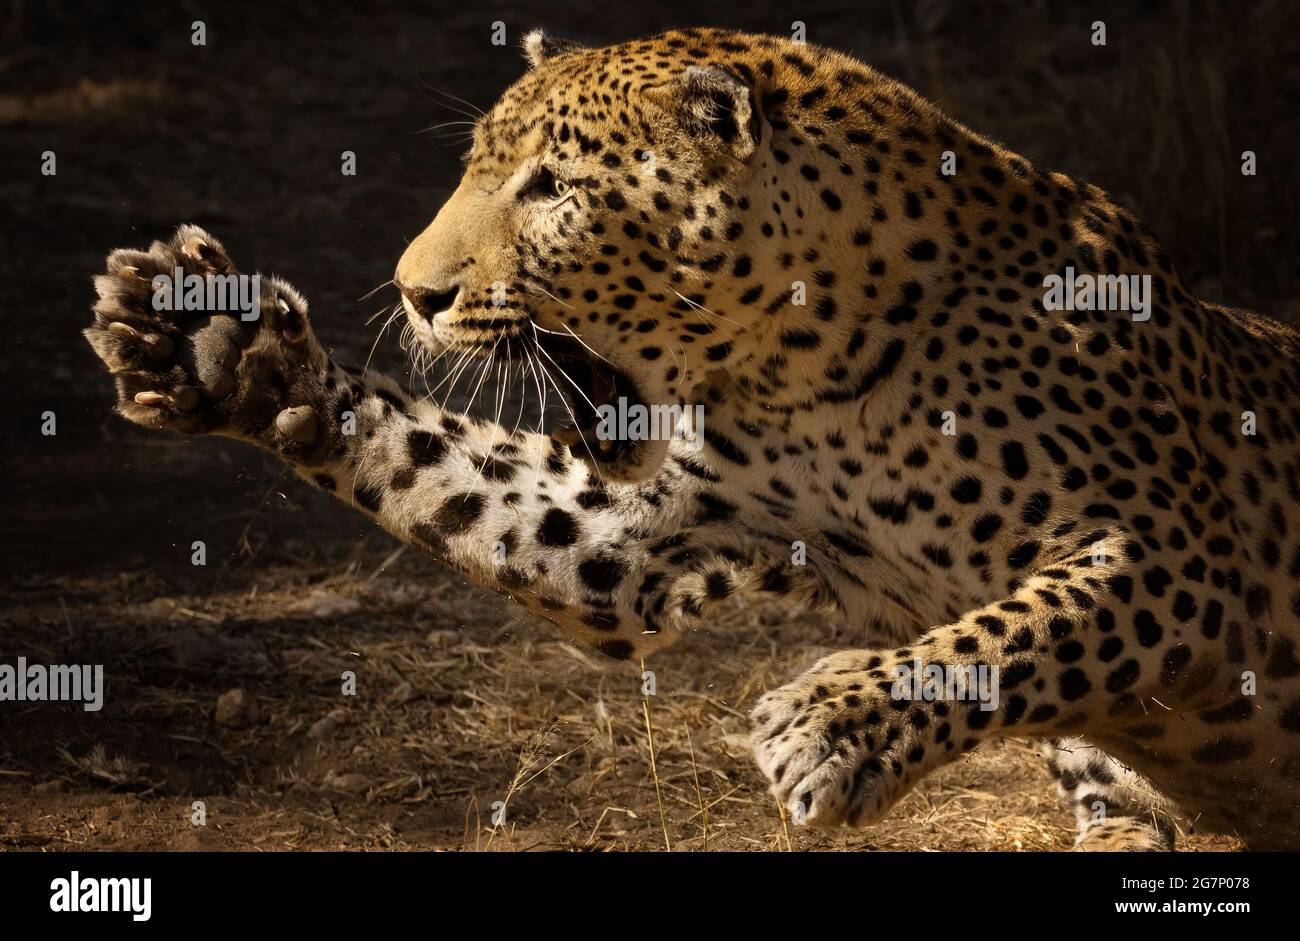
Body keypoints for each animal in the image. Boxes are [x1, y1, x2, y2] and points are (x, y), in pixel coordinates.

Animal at [84, 27, 1300, 851]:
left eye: (552, 186)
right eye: (479, 165)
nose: (415, 293)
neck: (807, 369)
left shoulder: (1183, 558)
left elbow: (1013, 628)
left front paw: (834, 726)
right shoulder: (635, 535)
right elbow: (447, 468)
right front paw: (218, 347)